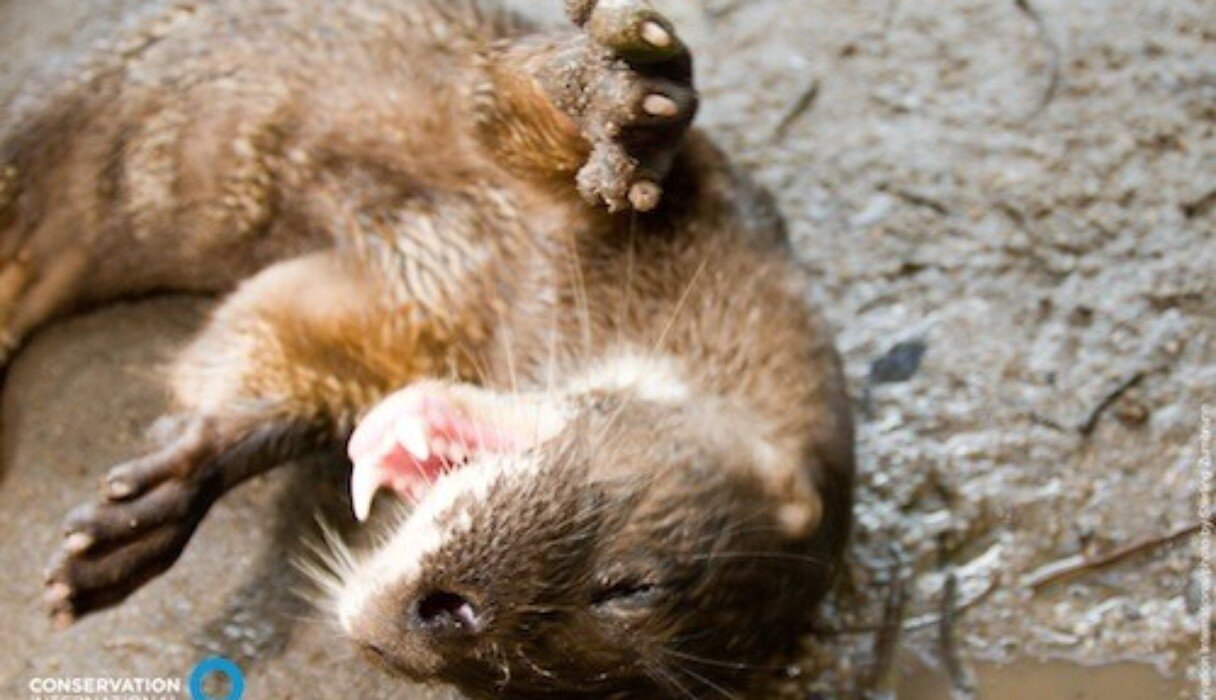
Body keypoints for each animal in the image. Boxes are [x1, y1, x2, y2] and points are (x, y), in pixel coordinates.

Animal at [4, 0, 854, 696]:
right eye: (629, 587)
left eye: (544, 676)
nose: (419, 630)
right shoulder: (681, 202)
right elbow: (506, 108)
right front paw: (618, 97)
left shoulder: (383, 314)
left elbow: (266, 345)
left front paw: (152, 506)